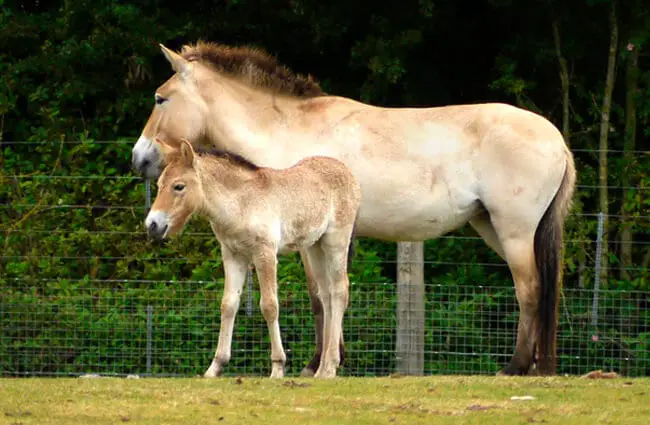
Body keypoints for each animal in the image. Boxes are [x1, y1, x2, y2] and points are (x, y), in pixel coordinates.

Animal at [144, 138, 361, 378]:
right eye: (159, 185)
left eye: (179, 186)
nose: (152, 225)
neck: (242, 203)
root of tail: (347, 171)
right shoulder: (233, 255)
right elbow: (228, 305)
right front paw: (215, 367)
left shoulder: (265, 254)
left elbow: (269, 305)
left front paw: (277, 366)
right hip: (315, 248)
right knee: (326, 295)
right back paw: (321, 369)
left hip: (336, 243)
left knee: (340, 291)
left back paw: (330, 366)